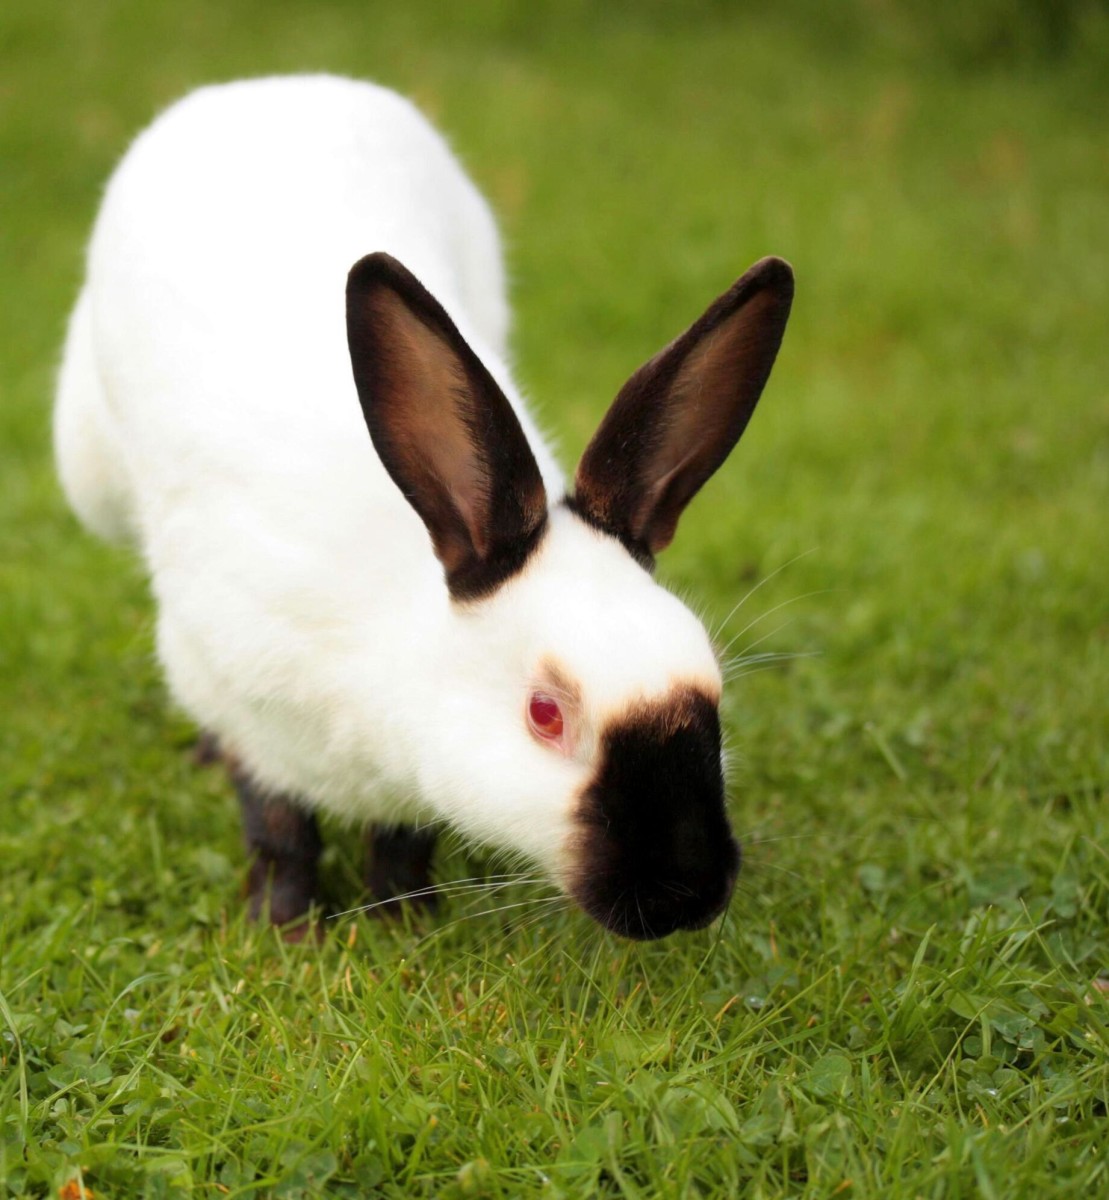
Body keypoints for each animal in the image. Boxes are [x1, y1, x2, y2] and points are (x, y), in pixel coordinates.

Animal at [54, 75, 794, 941]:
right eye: (544, 714)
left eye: (710, 680)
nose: (688, 896)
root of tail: (270, 85)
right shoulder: (247, 709)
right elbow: (278, 830)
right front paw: (285, 930)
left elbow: (401, 843)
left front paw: (404, 920)